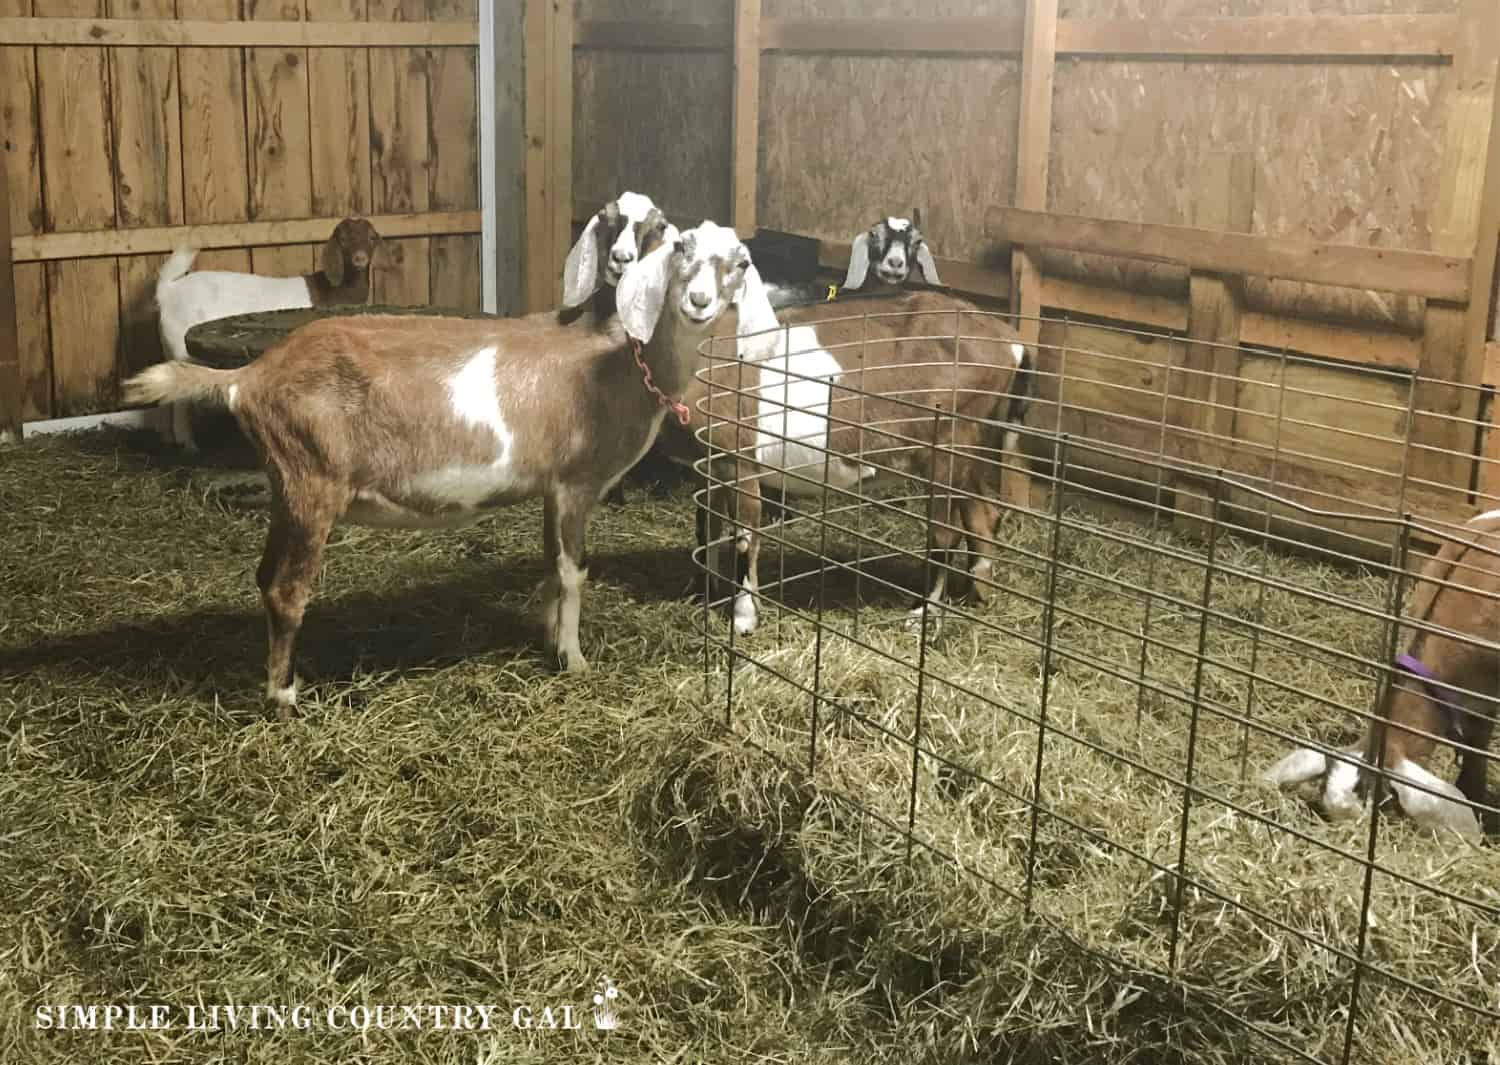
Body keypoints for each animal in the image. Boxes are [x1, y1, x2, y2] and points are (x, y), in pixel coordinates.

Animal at [155, 218, 382, 452]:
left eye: (372, 237)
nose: (360, 259)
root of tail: (167, 290)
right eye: (343, 239)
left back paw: (167, 436)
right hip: (179, 345)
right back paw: (187, 443)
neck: (333, 291)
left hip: (168, 345)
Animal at [622, 223, 1034, 637]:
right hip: (970, 441)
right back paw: (976, 591)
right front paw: (703, 590)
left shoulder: (740, 458)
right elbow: (707, 528)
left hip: (949, 441)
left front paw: (744, 616)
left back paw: (923, 612)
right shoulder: (709, 466)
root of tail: (1010, 343)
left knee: (946, 529)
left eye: (738, 262)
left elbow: (744, 535)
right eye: (679, 250)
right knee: (982, 513)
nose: (698, 301)